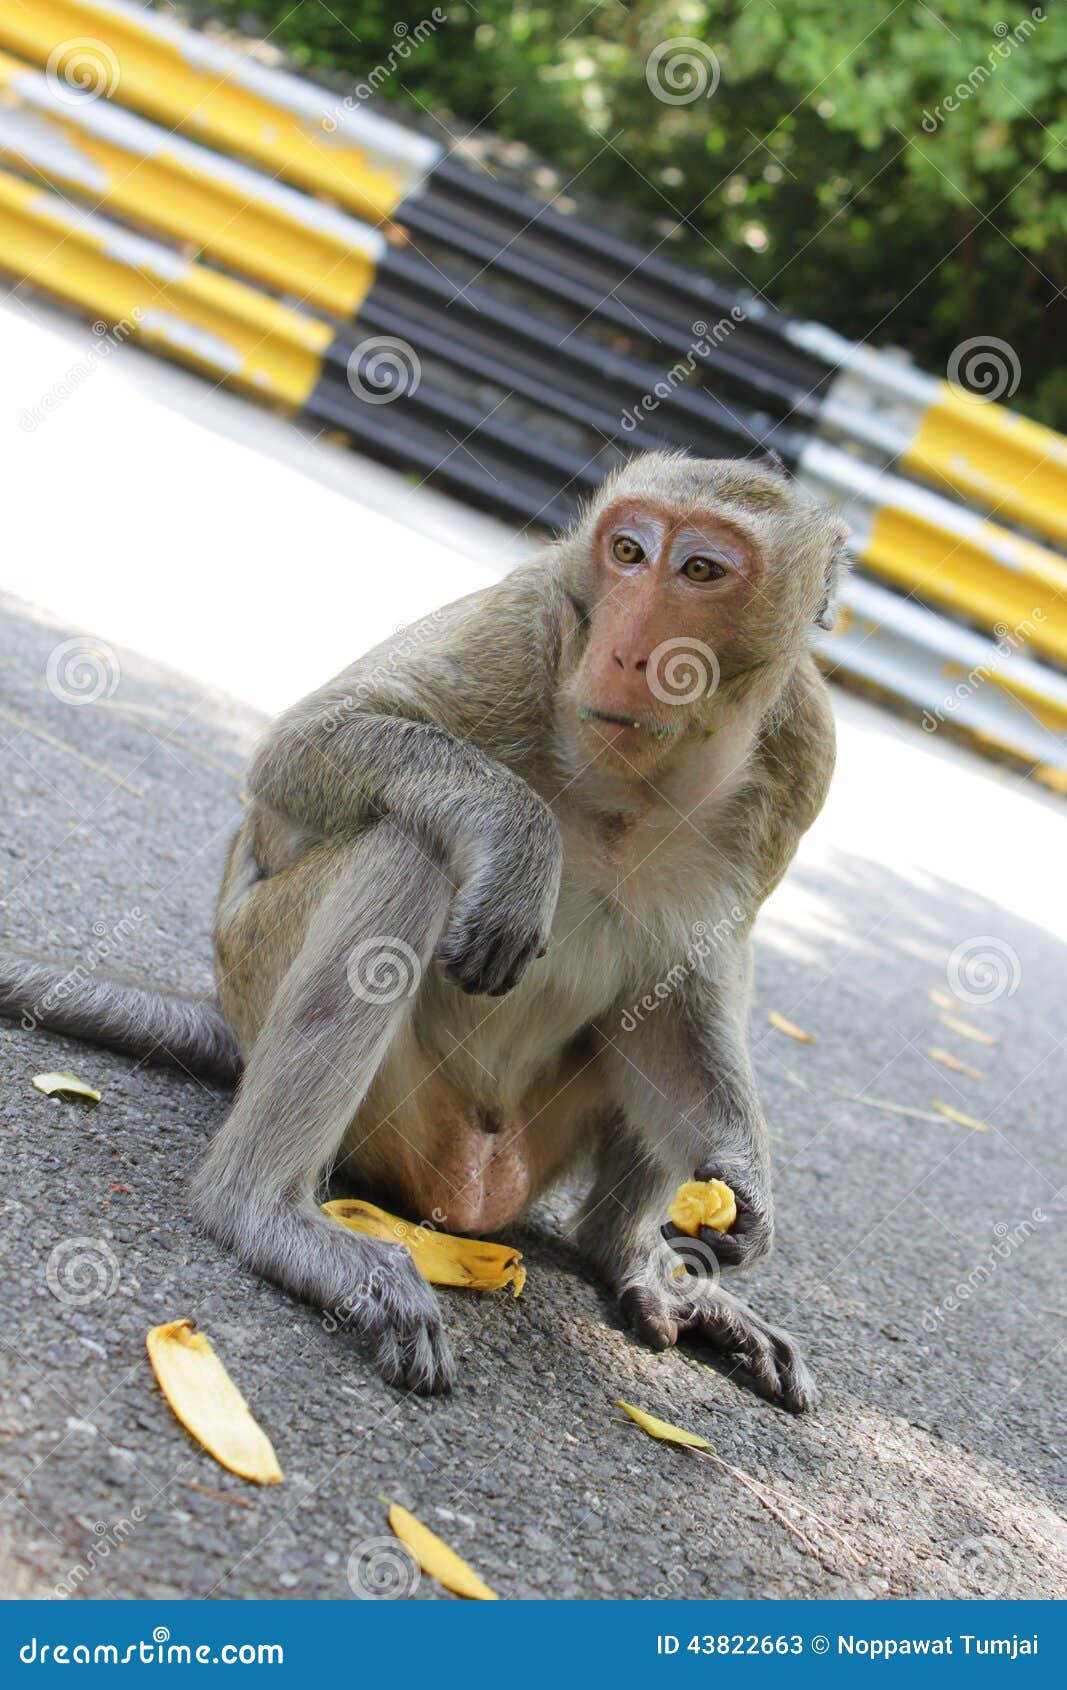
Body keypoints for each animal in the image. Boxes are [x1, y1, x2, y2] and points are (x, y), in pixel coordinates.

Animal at [0, 453, 849, 1413]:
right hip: (308, 1021)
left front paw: (739, 1179)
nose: (630, 652)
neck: (643, 779)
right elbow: (303, 748)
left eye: (701, 570)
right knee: (408, 849)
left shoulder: (806, 749)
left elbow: (691, 978)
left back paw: (627, 1258)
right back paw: (261, 1214)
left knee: (655, 990)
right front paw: (518, 838)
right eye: (629, 551)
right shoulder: (526, 620)